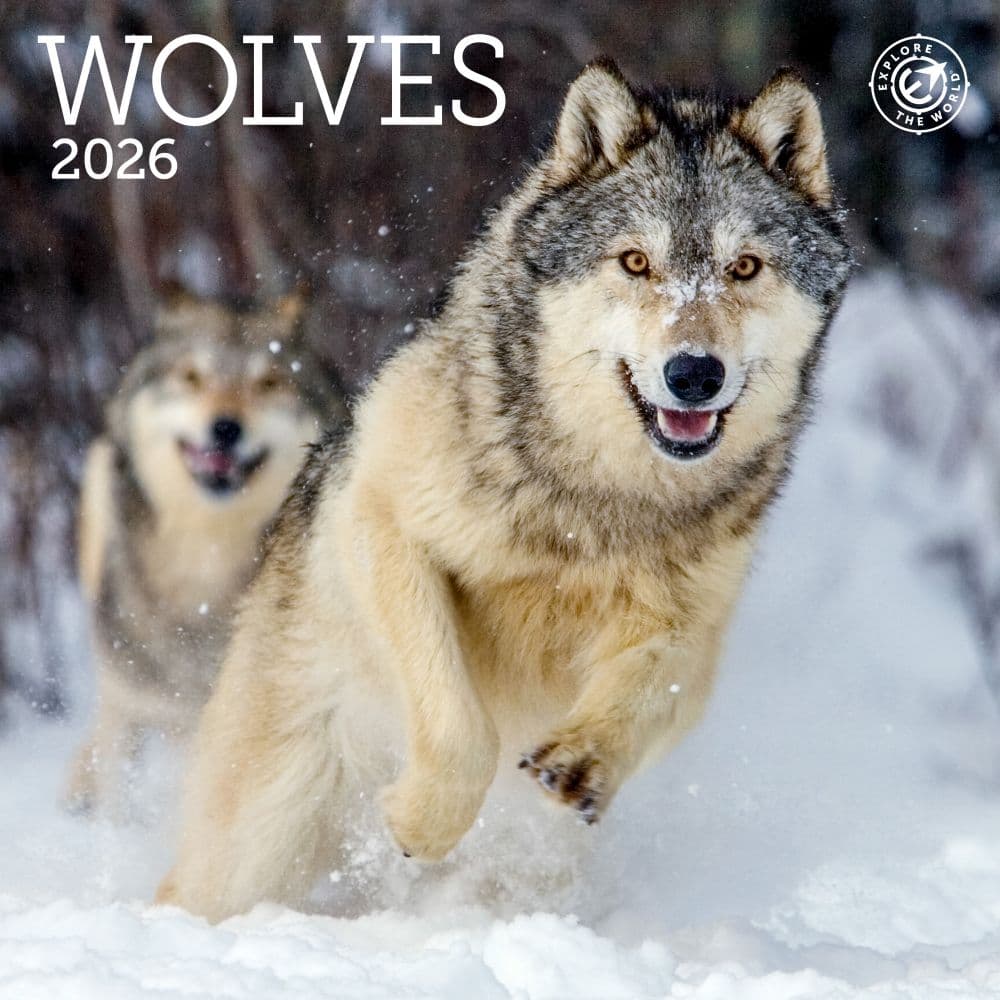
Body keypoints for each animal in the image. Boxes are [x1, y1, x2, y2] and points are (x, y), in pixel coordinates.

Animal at [157, 62, 851, 919]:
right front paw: (420, 822)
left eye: (744, 268)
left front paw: (584, 759)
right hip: (253, 849)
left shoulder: (693, 631)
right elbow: (462, 730)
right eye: (634, 263)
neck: (596, 504)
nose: (694, 373)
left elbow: (649, 685)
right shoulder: (386, 526)